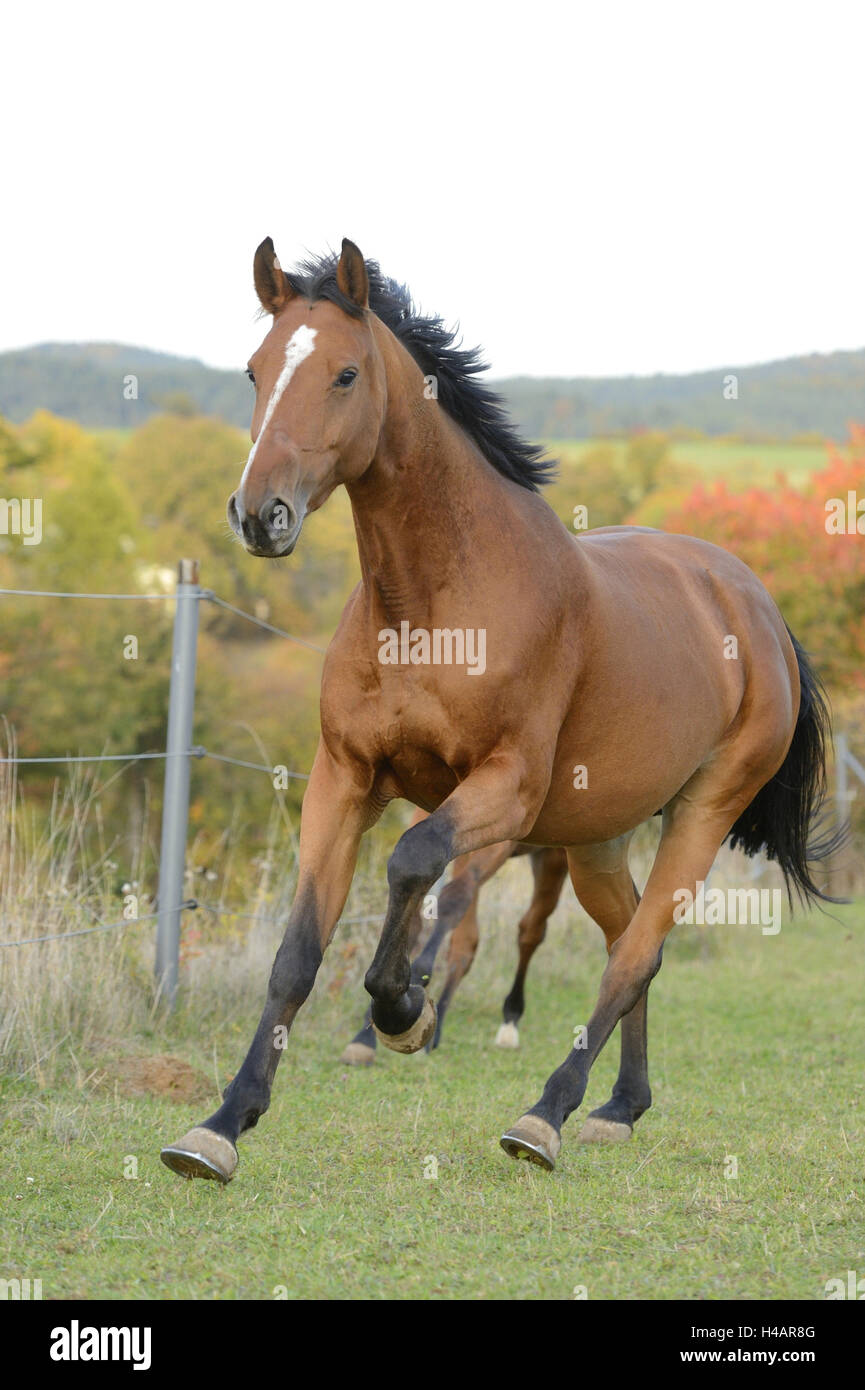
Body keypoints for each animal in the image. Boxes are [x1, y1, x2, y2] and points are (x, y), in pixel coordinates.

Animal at [340, 827, 569, 1062]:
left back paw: (509, 1019)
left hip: (553, 859)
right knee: (467, 944)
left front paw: (417, 979)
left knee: (530, 932)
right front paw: (366, 1033)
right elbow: (417, 918)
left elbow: (453, 899)